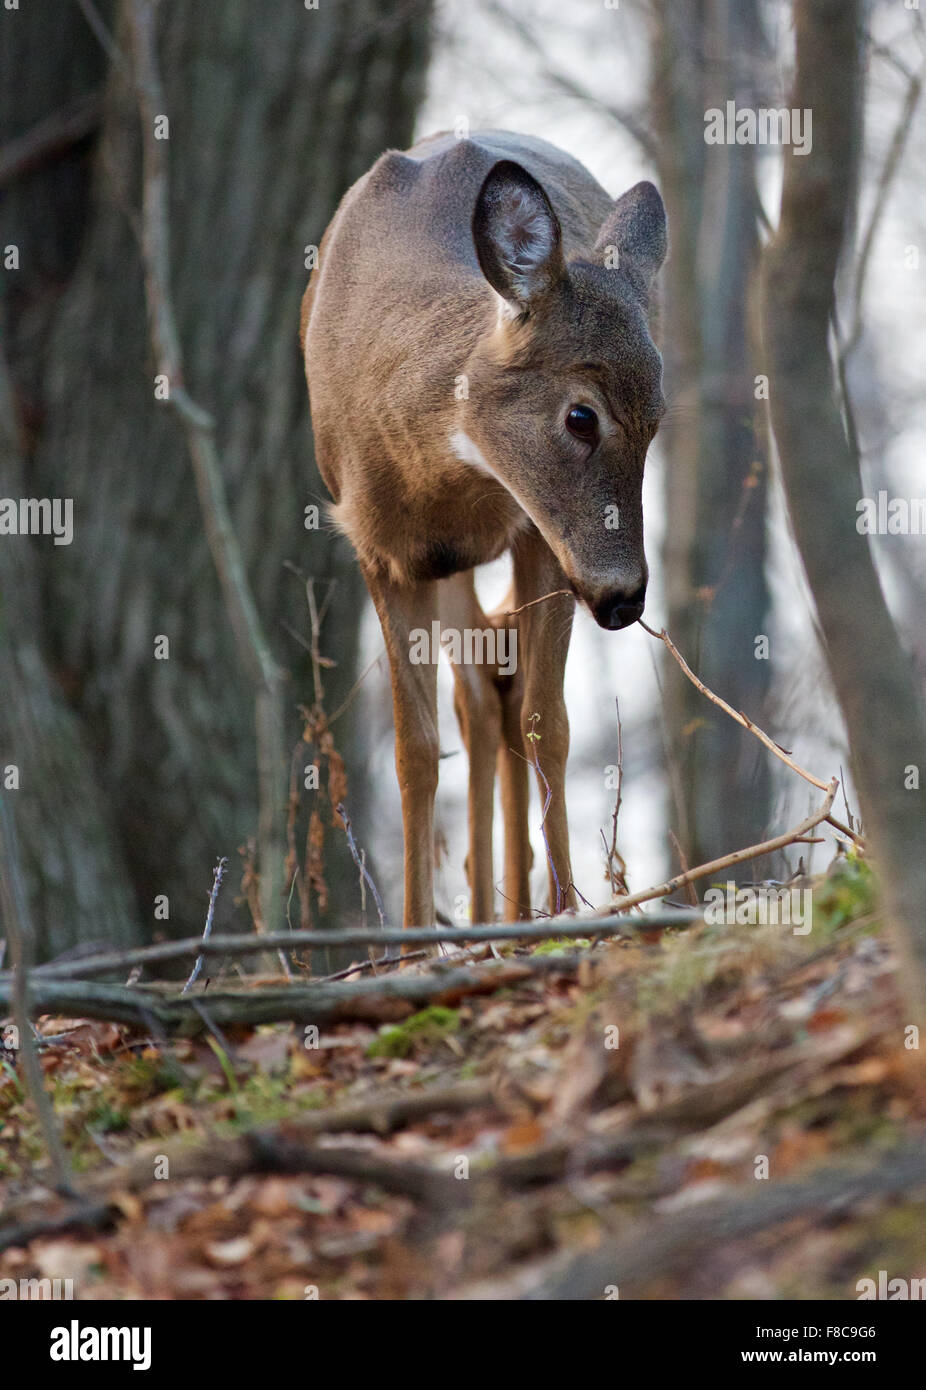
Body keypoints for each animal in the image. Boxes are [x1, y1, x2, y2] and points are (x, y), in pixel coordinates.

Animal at [301, 130, 667, 931]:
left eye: (659, 419)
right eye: (582, 416)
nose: (624, 598)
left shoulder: (536, 535)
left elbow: (546, 721)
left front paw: (562, 913)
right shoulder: (379, 545)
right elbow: (414, 751)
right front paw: (410, 940)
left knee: (500, 693)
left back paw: (512, 913)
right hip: (450, 566)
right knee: (475, 701)